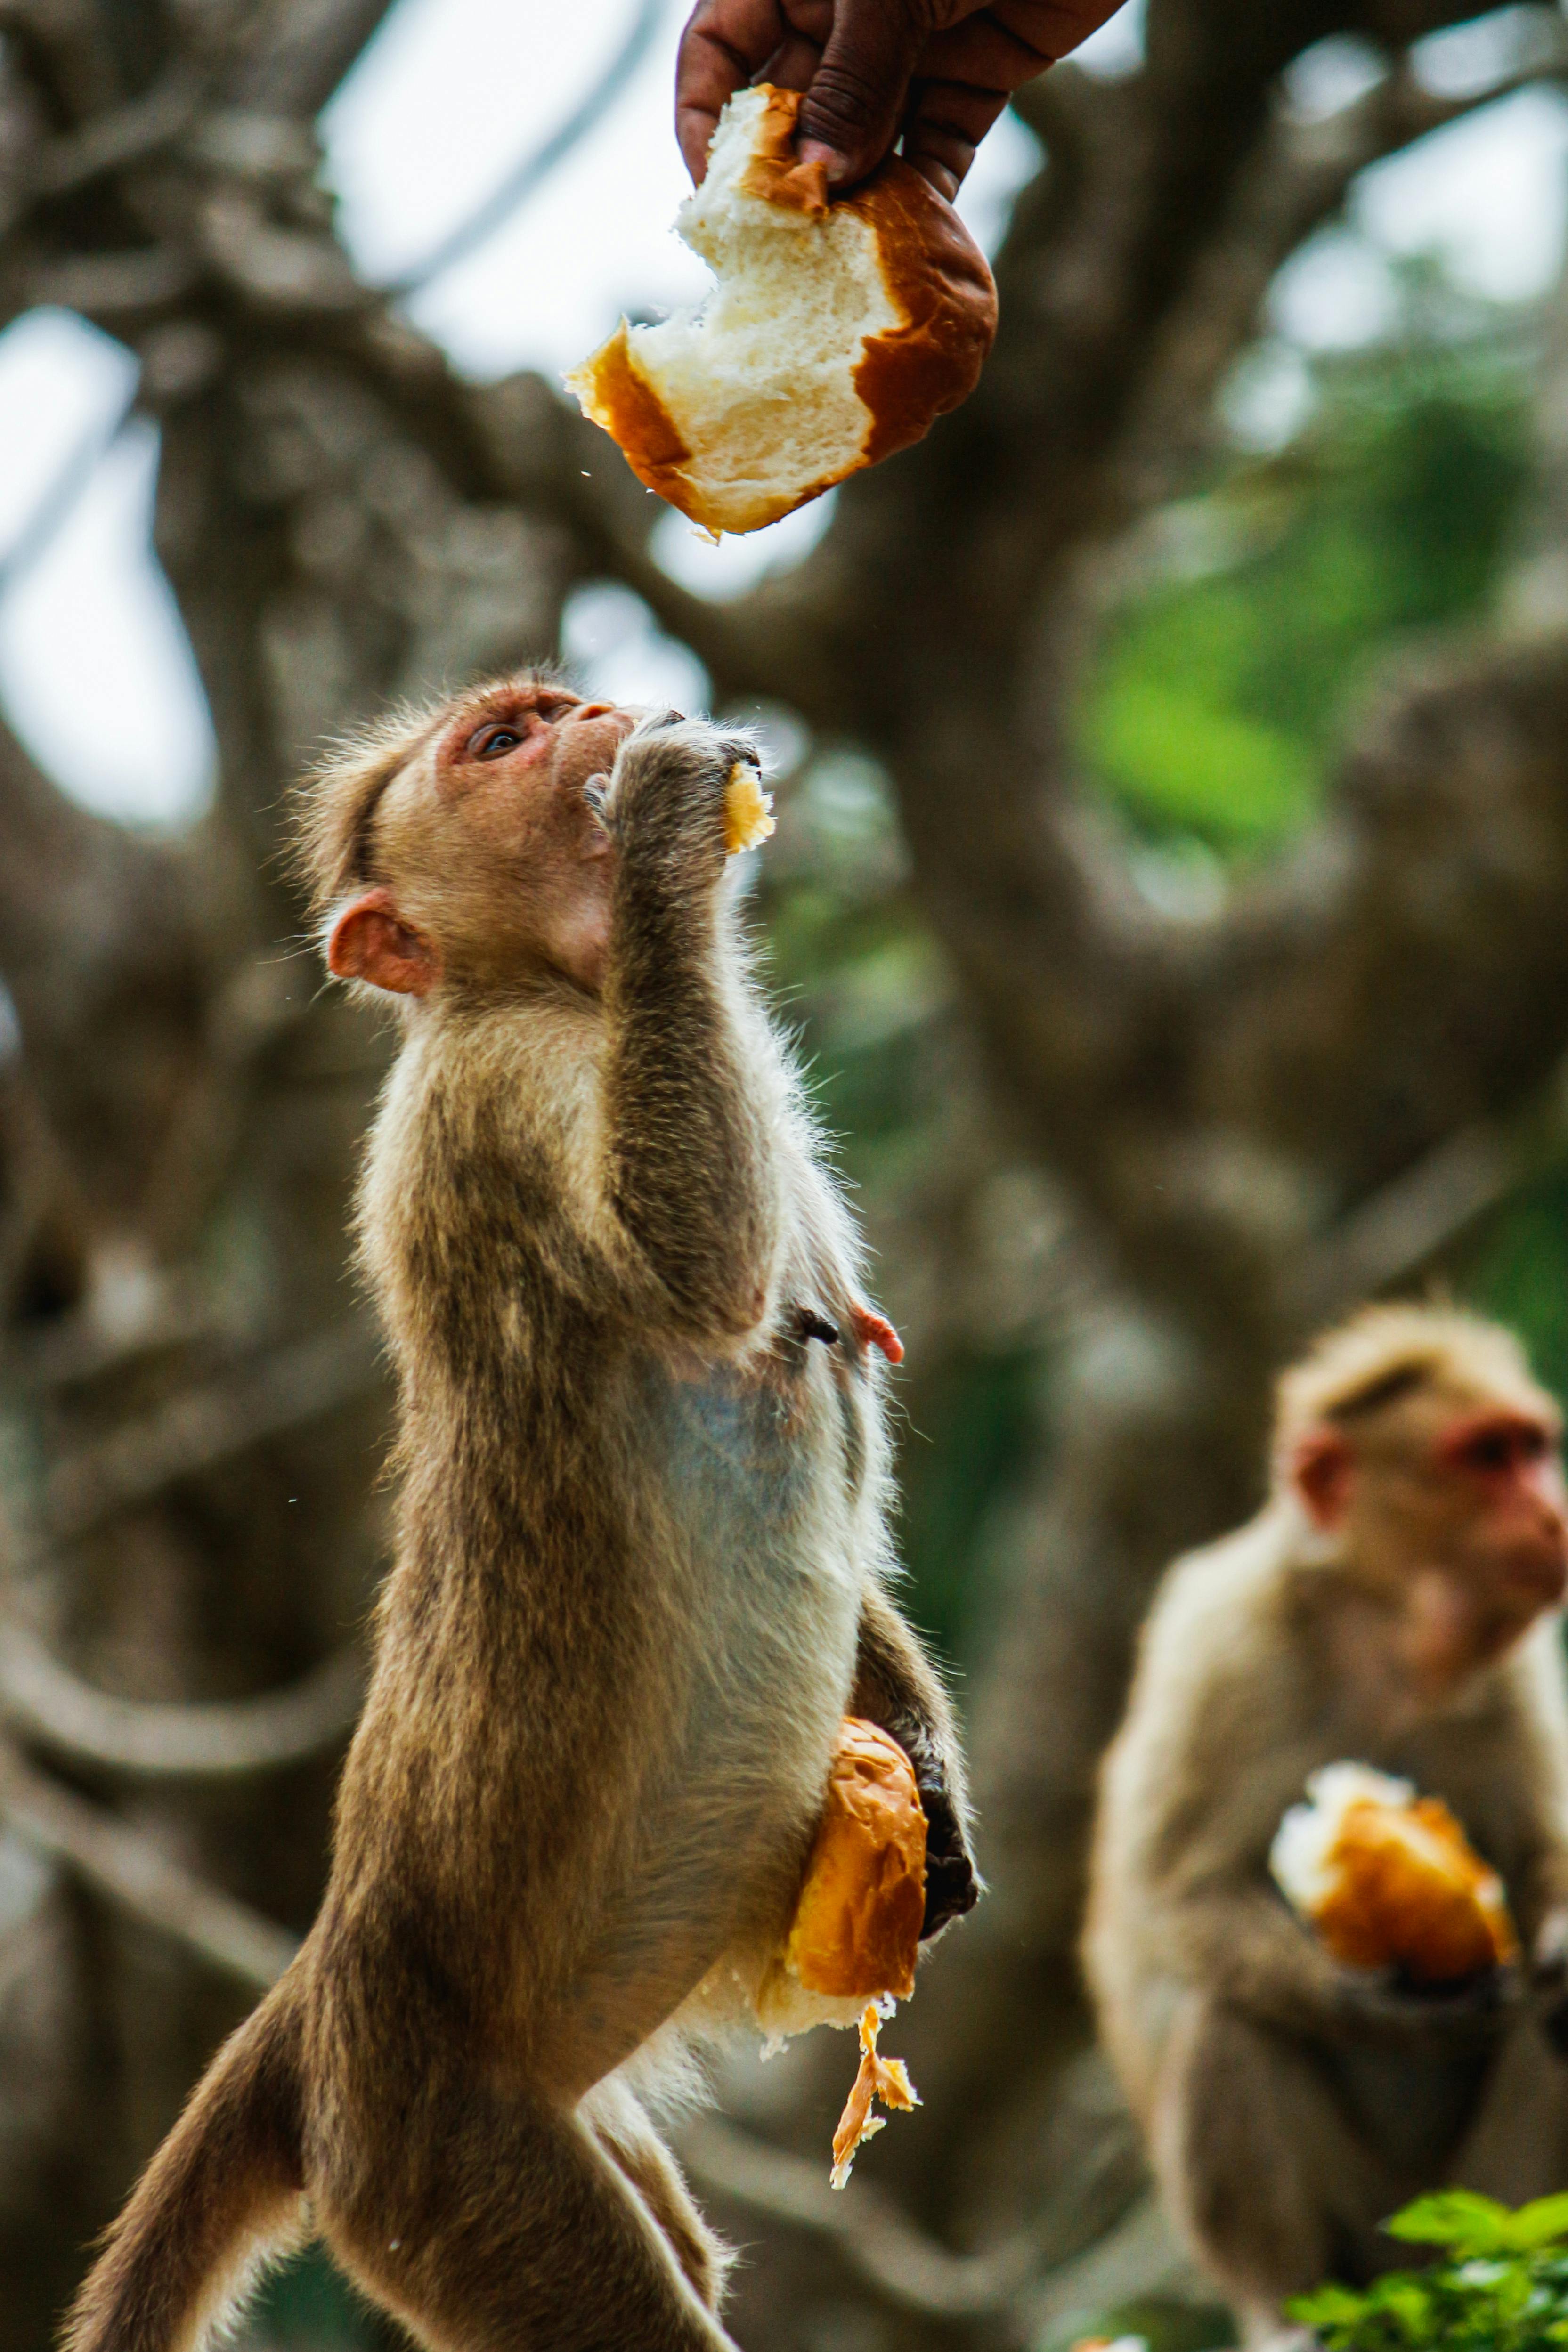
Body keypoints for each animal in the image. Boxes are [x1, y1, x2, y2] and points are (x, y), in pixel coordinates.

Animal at [64, 676, 978, 2352]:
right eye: (507, 740)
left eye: (555, 702)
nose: (611, 708)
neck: (544, 986)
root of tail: (319, 2009)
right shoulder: (498, 1089)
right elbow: (694, 1260)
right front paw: (670, 821)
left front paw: (927, 1774)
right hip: (443, 2167)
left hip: (542, 2124)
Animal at [1083, 1304, 1568, 2349]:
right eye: (1485, 1455)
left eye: (1530, 1448)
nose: (1555, 1513)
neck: (1387, 1636)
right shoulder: (1216, 1633)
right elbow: (1175, 1897)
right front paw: (1377, 1997)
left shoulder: (1516, 1673)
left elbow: (1544, 1859)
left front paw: (1554, 1937)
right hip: (1356, 2235)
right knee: (1229, 2013)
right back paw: (1287, 2310)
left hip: (1454, 2209)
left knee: (1551, 2028)